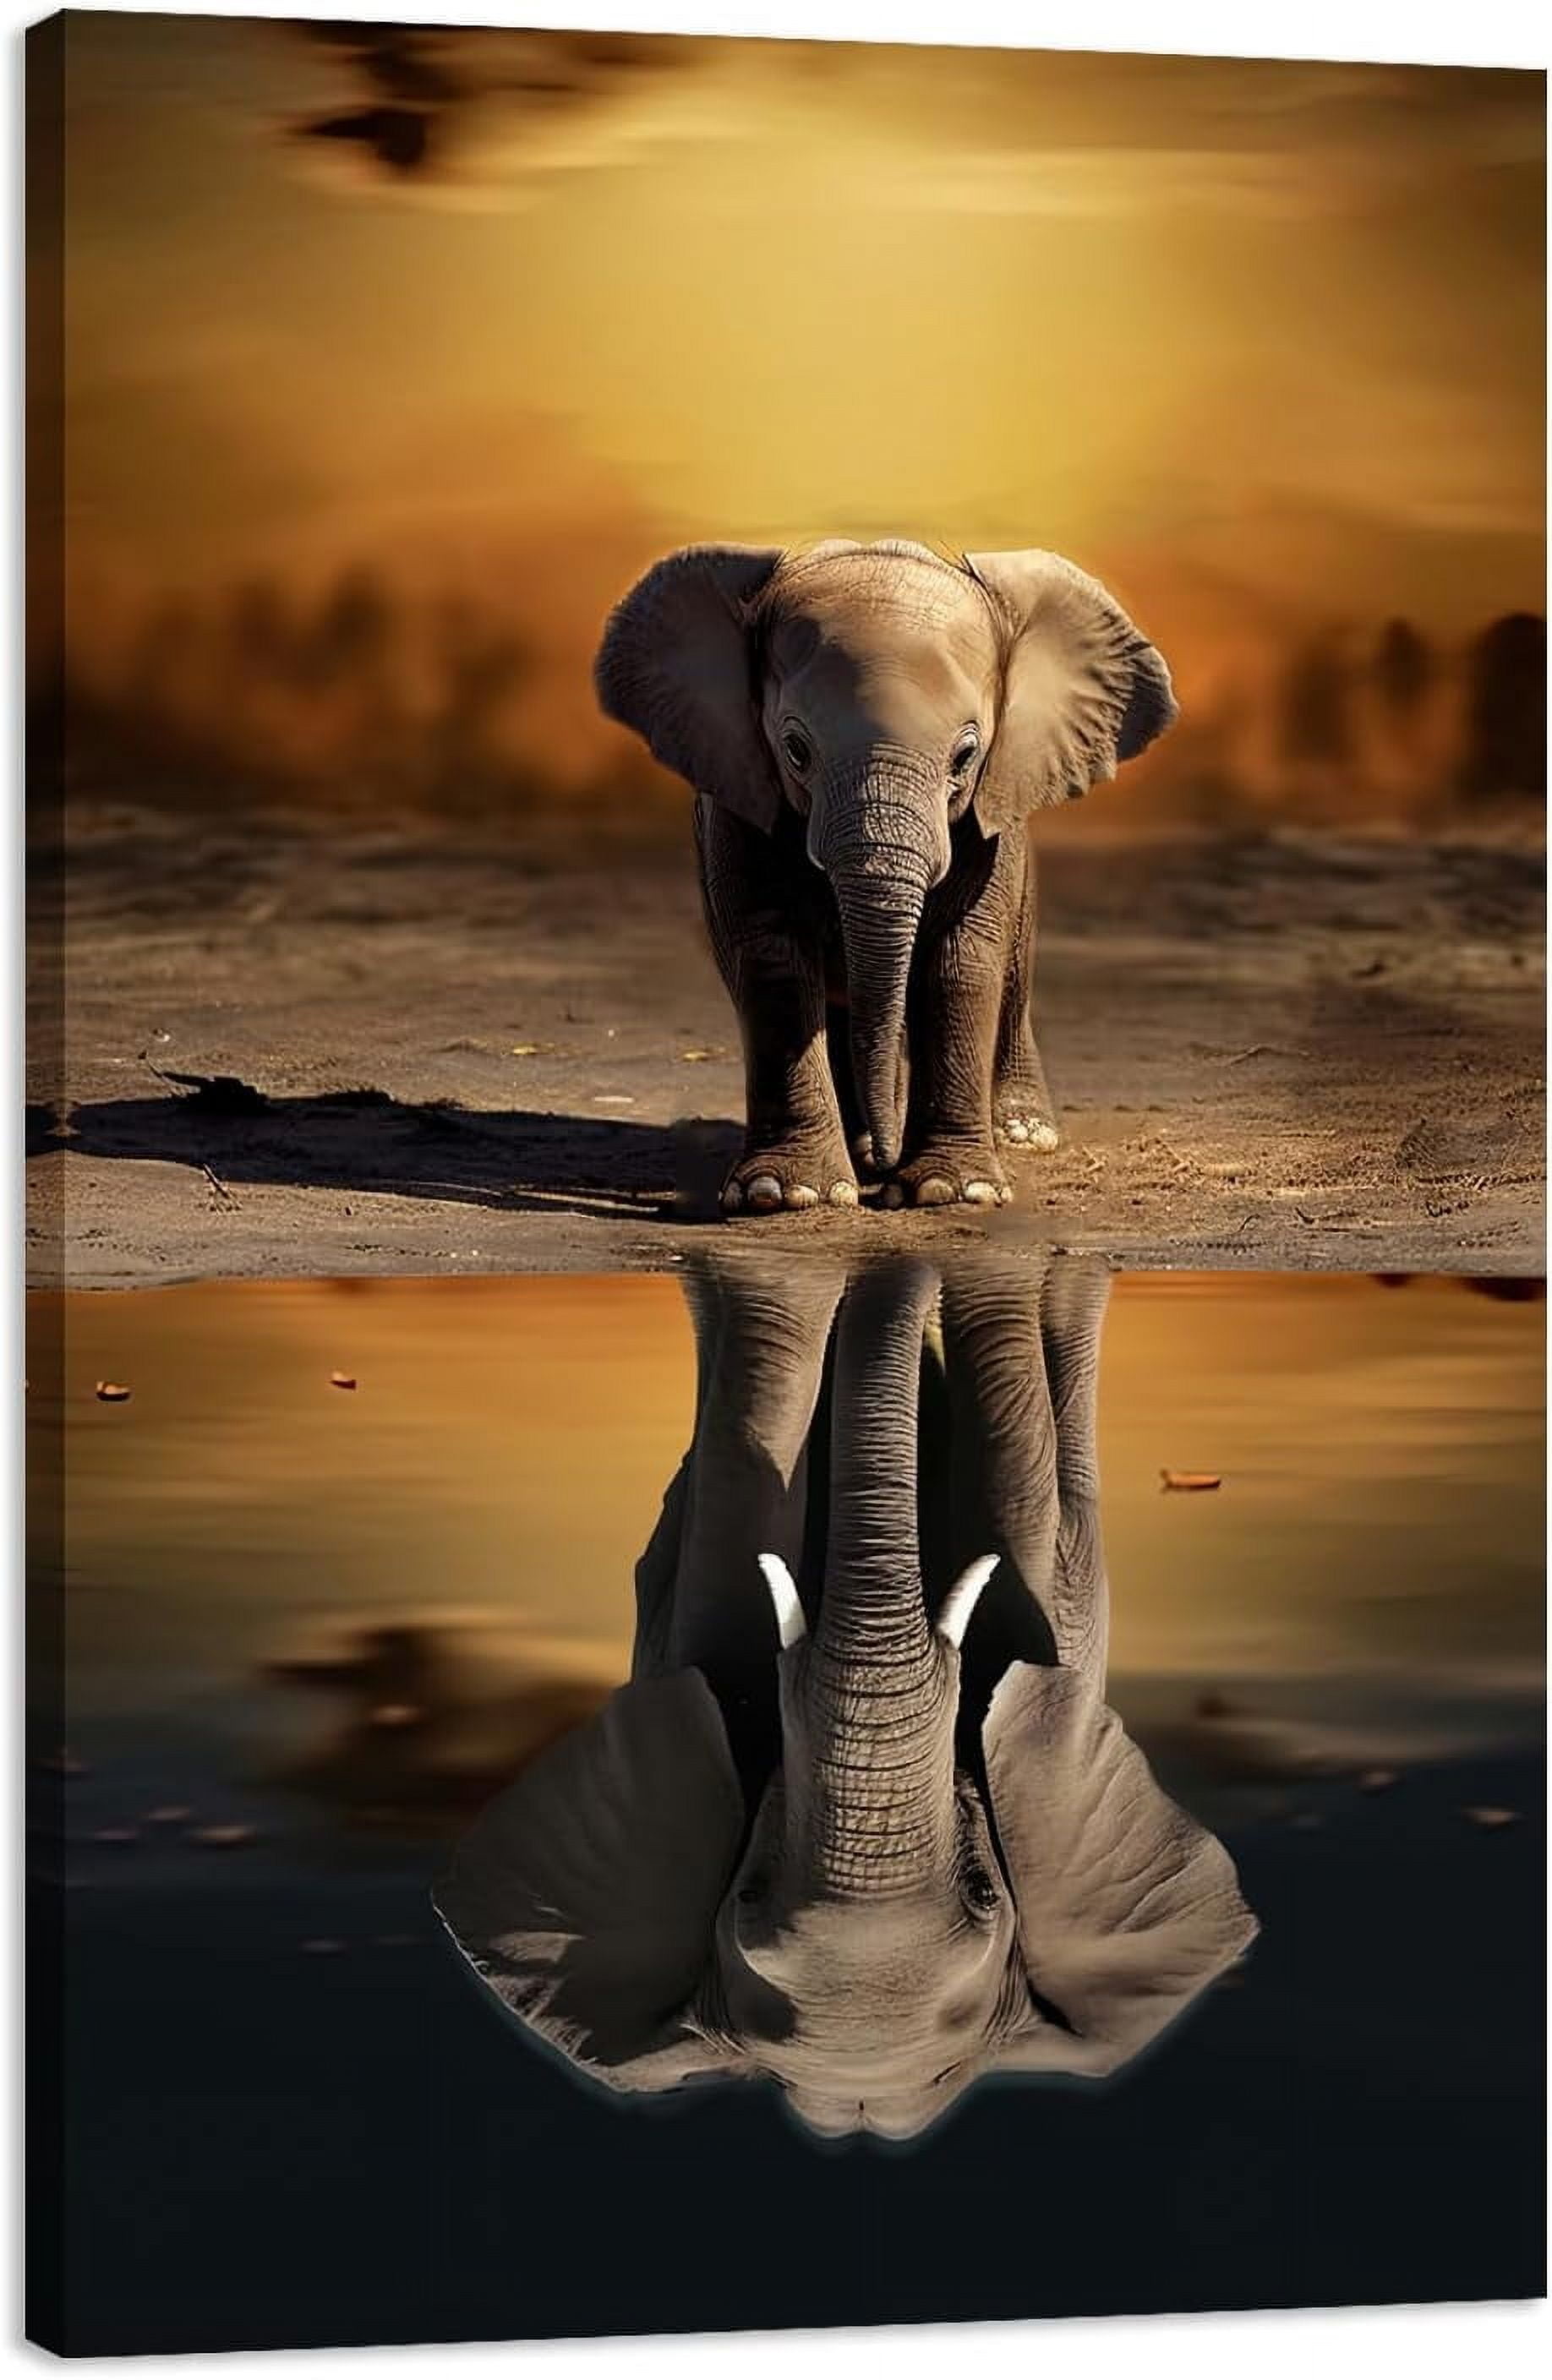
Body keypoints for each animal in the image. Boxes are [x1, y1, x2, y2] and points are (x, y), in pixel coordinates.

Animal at [594, 539, 1176, 1213]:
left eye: (965, 756)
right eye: (796, 750)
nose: (887, 1165)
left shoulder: (992, 815)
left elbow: (962, 958)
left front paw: (956, 1191)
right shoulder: (736, 794)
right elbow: (770, 954)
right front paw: (786, 1194)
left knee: (1010, 976)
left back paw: (1016, 1136)